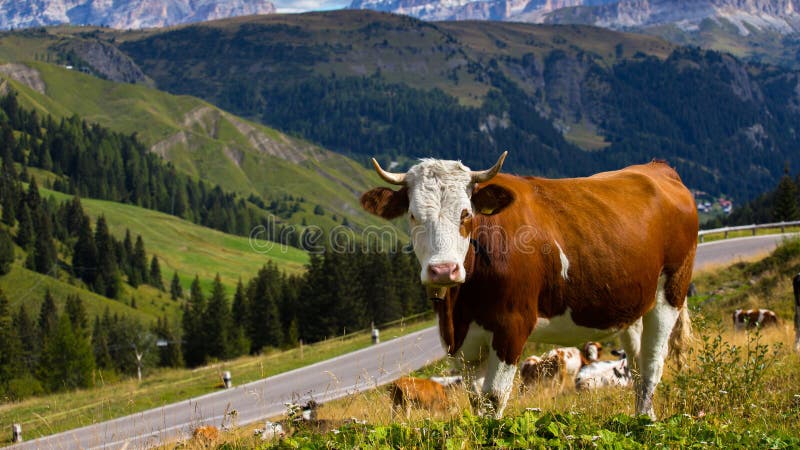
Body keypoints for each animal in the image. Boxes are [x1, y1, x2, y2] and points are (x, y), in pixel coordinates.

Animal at [361, 153, 698, 419]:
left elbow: (494, 397)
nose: (443, 269)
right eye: (413, 216)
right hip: (633, 307)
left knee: (652, 365)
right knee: (638, 365)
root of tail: (657, 168)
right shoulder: (465, 344)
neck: (458, 309)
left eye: (466, 214)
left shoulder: (512, 326)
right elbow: (476, 401)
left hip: (671, 293)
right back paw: (643, 418)